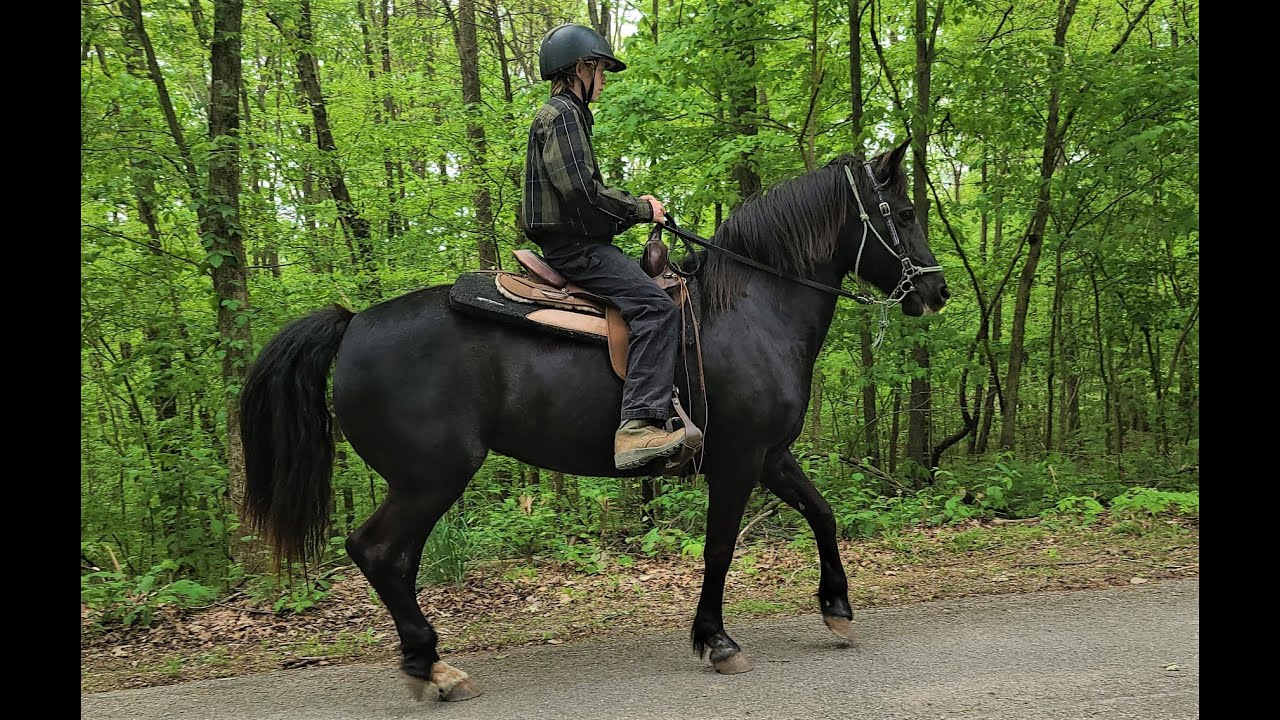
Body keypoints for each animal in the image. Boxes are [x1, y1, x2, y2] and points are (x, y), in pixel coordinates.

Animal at [239, 139, 950, 701]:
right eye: (905, 213)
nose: (936, 291)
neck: (750, 309)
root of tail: (353, 323)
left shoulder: (771, 455)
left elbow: (822, 515)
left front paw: (838, 608)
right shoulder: (739, 460)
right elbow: (720, 547)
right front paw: (716, 640)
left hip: (422, 482)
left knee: (394, 559)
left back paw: (427, 661)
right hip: (430, 477)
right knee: (381, 552)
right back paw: (432, 666)